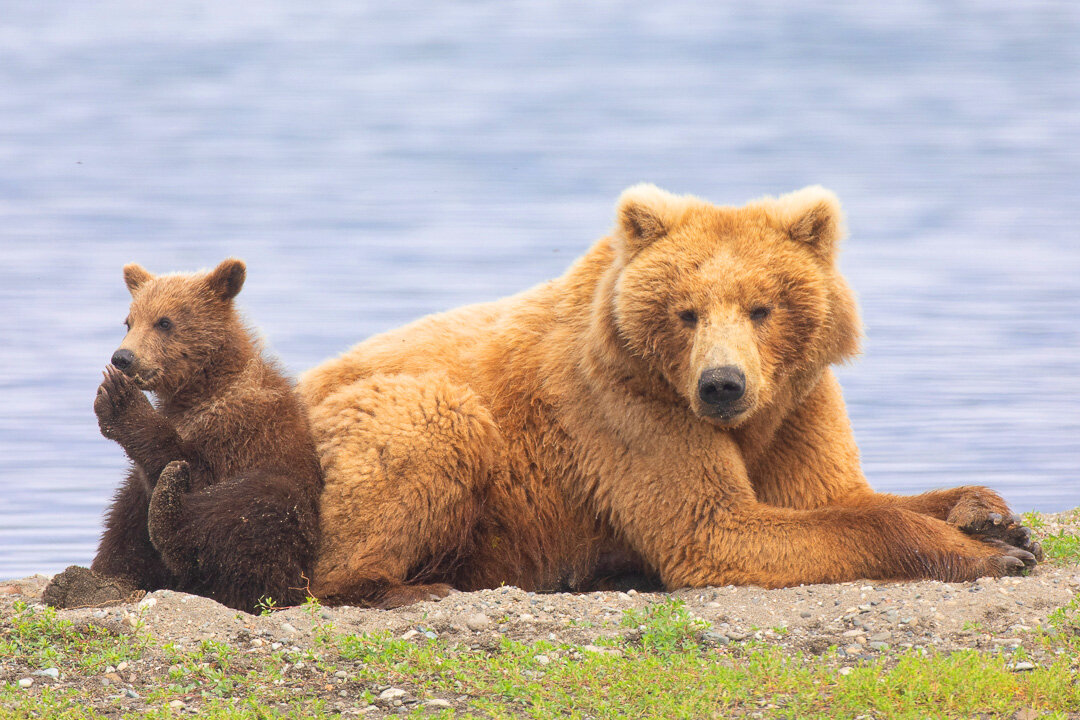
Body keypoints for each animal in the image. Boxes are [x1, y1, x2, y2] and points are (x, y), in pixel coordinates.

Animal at [43, 258, 323, 614]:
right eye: (128, 322)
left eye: (164, 322)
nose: (122, 358)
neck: (202, 388)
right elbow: (133, 503)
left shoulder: (237, 432)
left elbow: (192, 467)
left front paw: (119, 398)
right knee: (126, 517)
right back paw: (84, 585)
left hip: (296, 528)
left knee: (253, 510)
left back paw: (168, 507)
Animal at [299, 185, 1041, 608]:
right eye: (687, 312)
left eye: (762, 308)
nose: (722, 384)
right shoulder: (625, 410)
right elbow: (717, 528)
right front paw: (996, 557)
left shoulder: (796, 402)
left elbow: (838, 495)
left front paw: (991, 516)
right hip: (379, 426)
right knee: (419, 430)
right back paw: (407, 586)